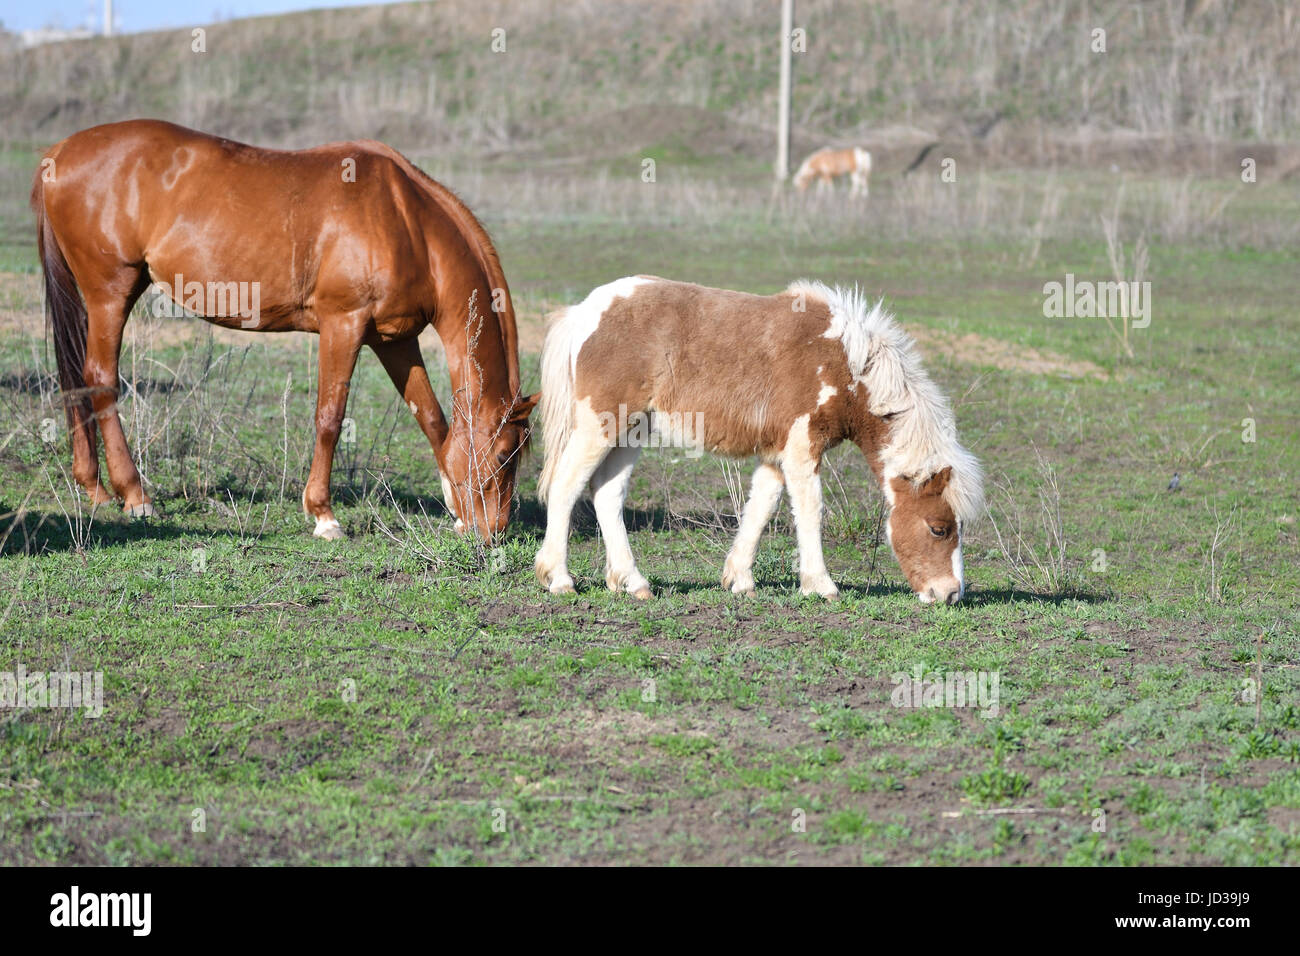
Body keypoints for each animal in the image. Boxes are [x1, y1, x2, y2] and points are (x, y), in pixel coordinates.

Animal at [31, 120, 536, 541]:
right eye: (503, 454)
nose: (493, 533)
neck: (407, 221)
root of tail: (59, 151)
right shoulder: (343, 324)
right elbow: (330, 417)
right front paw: (324, 515)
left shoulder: (394, 340)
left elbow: (431, 418)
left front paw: (453, 506)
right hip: (110, 293)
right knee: (99, 378)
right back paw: (135, 496)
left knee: (79, 378)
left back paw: (95, 488)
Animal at [533, 277, 983, 603]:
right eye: (939, 529)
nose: (950, 595)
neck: (844, 365)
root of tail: (583, 313)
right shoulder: (802, 447)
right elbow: (810, 509)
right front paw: (821, 585)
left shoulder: (776, 453)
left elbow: (761, 508)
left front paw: (739, 579)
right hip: (600, 425)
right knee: (566, 484)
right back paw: (558, 578)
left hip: (632, 430)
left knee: (607, 493)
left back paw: (632, 582)